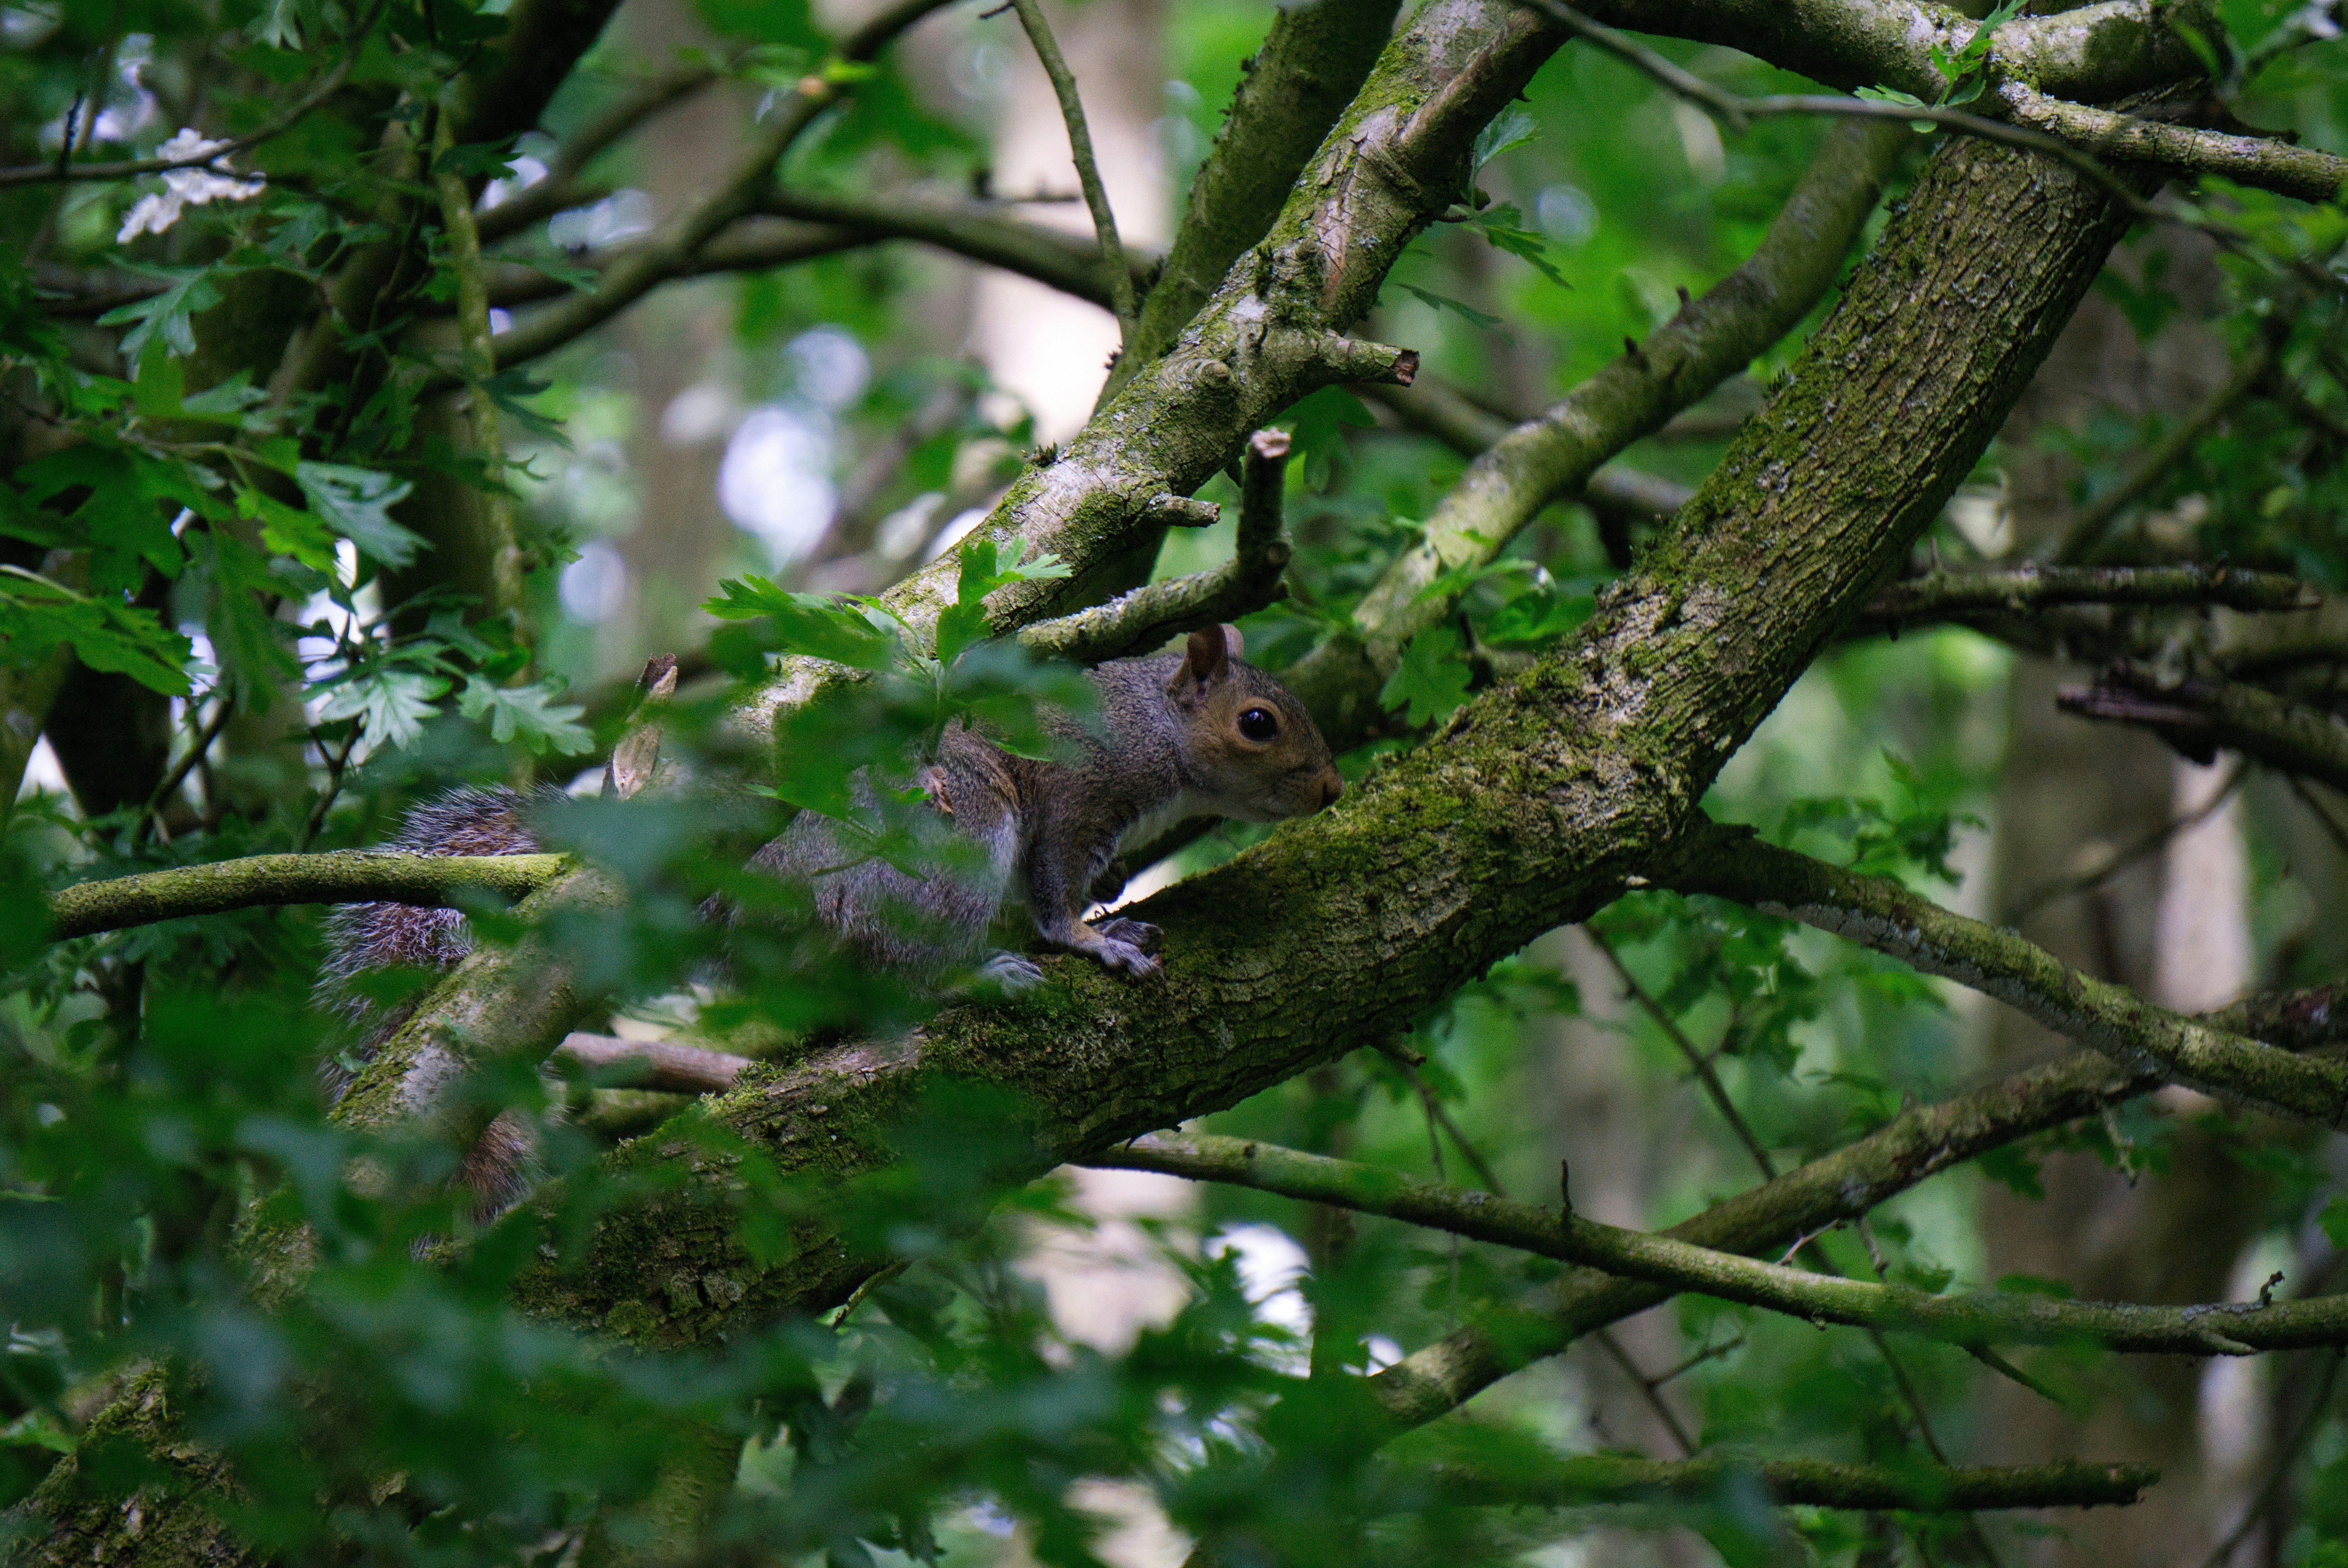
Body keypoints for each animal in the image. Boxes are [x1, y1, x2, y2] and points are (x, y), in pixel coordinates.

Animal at [316, 625, 1341, 1210]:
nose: (1331, 787)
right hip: (954, 826)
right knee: (900, 960)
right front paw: (1092, 939)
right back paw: (972, 974)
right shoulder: (1072, 791)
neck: (1147, 721)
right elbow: (1052, 892)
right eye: (1258, 722)